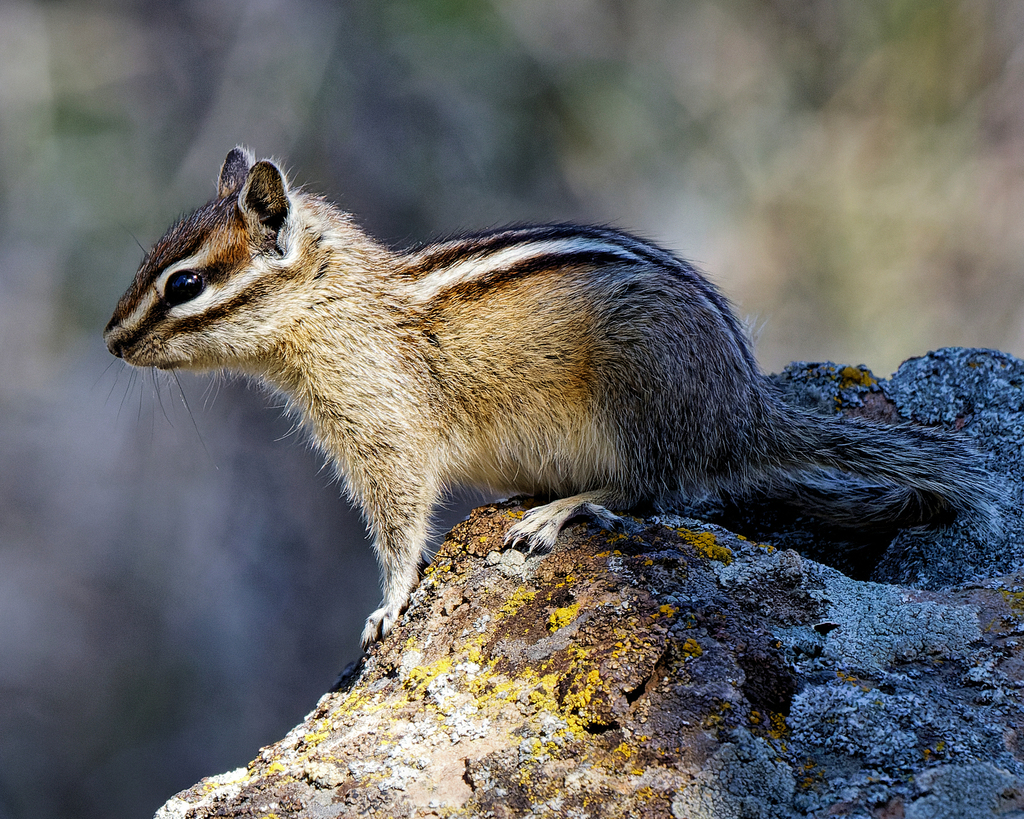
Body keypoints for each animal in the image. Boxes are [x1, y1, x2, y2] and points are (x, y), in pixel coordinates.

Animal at [104, 147, 997, 648]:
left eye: (185, 283)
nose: (111, 340)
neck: (337, 305)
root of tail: (742, 410)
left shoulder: (387, 437)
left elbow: (400, 531)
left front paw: (388, 608)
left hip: (639, 386)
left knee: (652, 489)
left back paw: (557, 510)